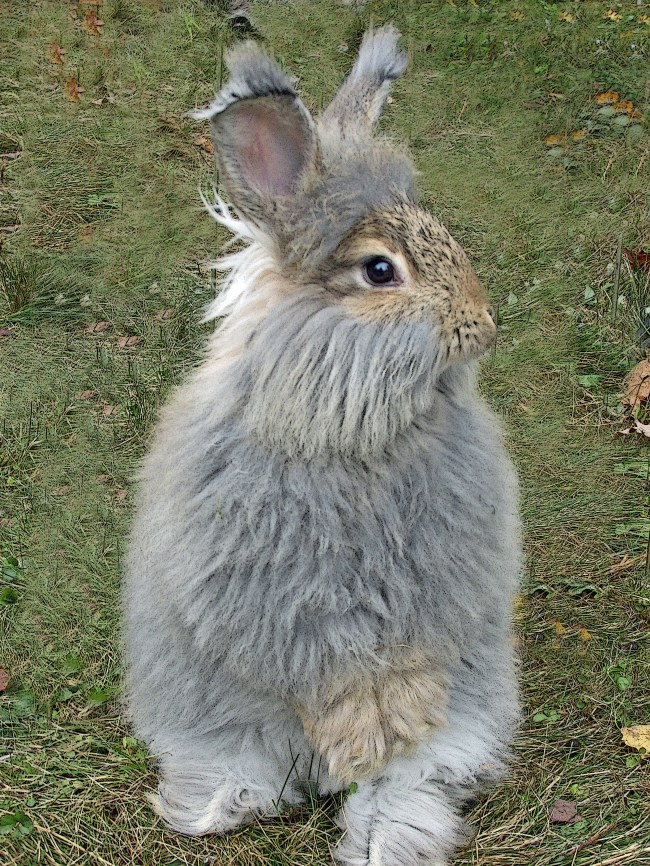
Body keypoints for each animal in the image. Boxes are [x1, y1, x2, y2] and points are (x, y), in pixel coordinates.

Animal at [123, 25, 521, 866]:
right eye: (379, 270)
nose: (482, 326)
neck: (349, 441)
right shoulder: (270, 602)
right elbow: (327, 673)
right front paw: (356, 740)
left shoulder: (439, 588)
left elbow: (404, 673)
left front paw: (382, 739)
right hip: (216, 719)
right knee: (249, 763)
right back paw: (217, 804)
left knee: (418, 779)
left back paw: (383, 839)